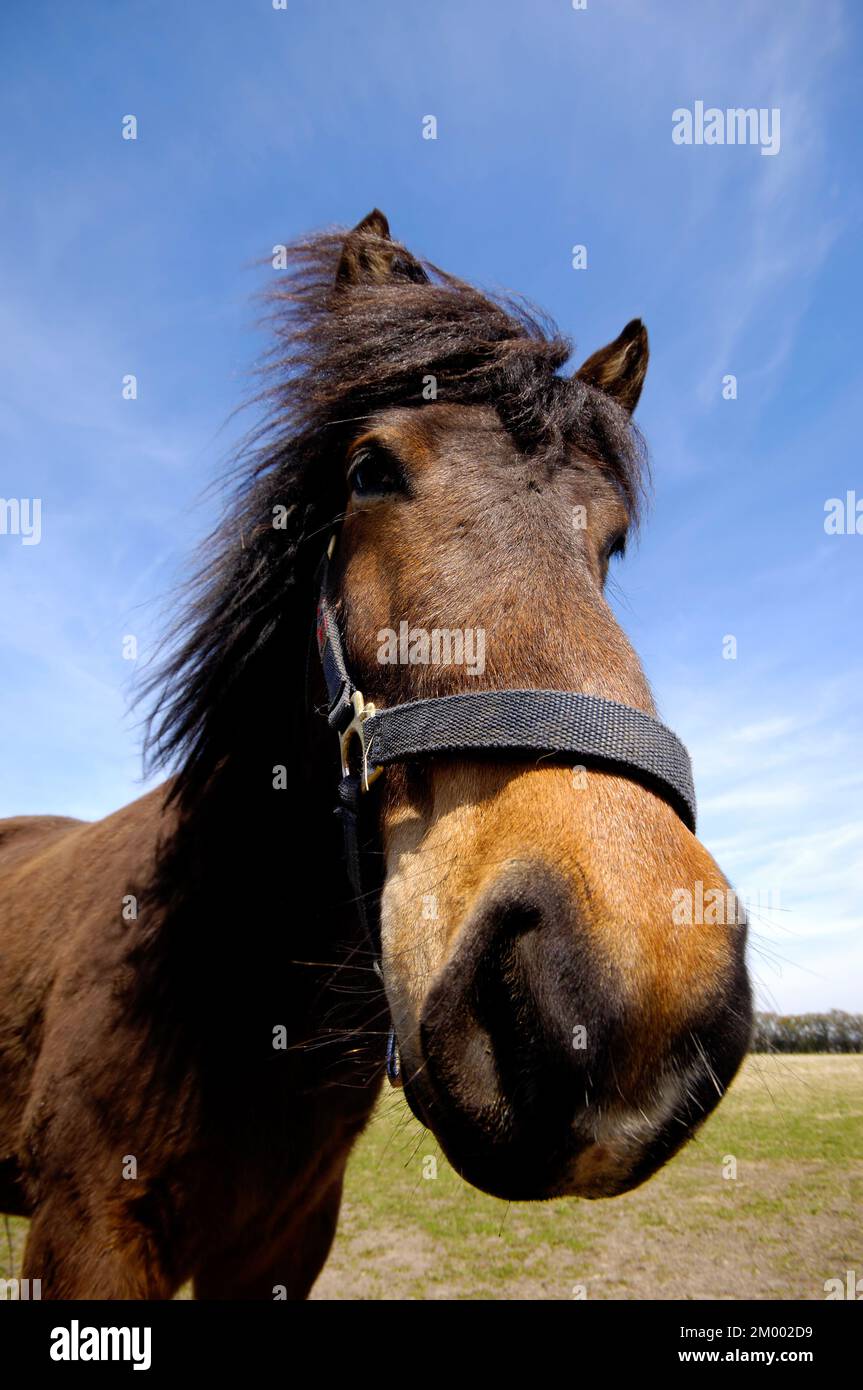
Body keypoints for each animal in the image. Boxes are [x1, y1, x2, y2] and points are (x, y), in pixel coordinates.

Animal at [0, 210, 752, 1299]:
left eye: (607, 543)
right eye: (369, 472)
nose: (628, 998)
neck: (223, 977)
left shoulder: (284, 1241)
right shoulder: (84, 1238)